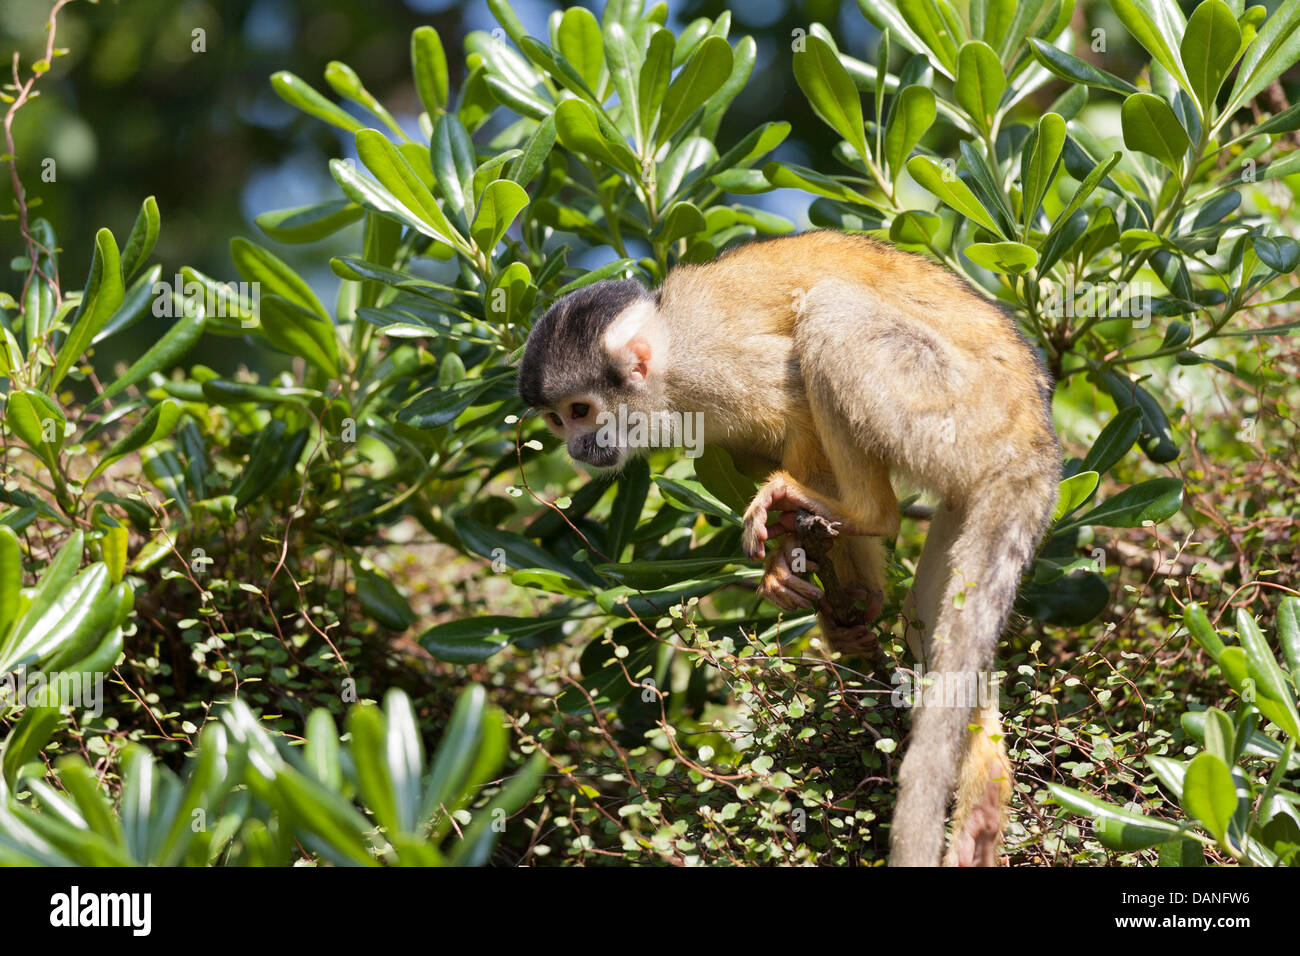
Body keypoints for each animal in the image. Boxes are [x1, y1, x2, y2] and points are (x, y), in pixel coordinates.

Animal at [516, 231, 1061, 867]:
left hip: (956, 406)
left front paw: (789, 554)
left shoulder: (711, 370)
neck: (665, 370)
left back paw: (868, 511)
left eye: (581, 410)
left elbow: (794, 401)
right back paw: (985, 785)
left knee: (829, 312)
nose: (577, 447)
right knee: (934, 621)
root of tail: (1032, 434)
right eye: (557, 420)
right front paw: (848, 606)